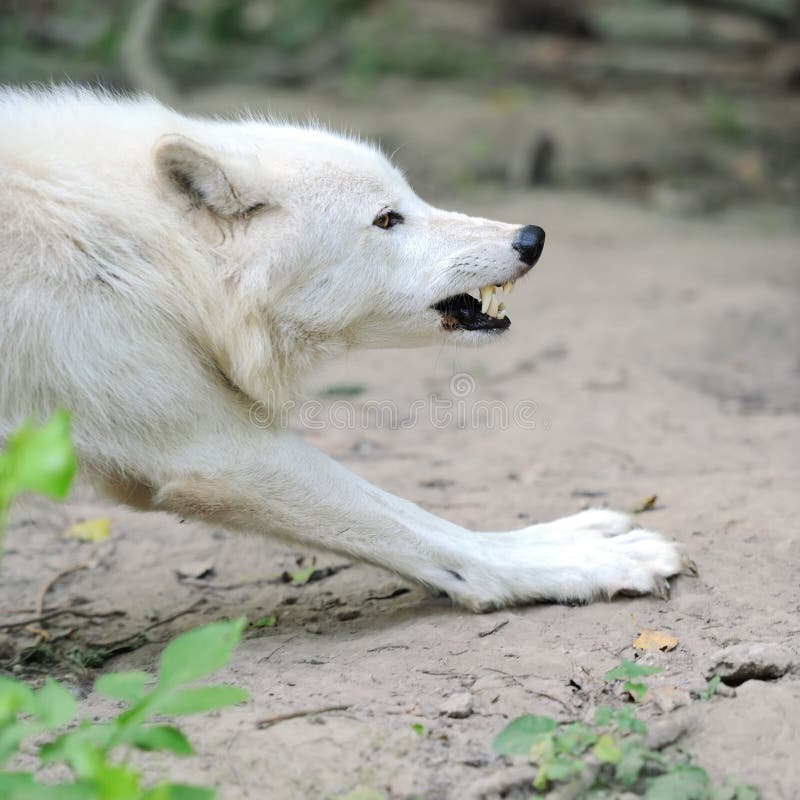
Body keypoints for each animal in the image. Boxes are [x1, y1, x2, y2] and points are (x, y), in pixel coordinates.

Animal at [0, 87, 694, 611]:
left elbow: (411, 511)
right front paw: (587, 562)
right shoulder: (210, 451)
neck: (147, 254)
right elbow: (415, 526)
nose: (532, 237)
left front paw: (573, 534)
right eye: (387, 219)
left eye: (411, 199)